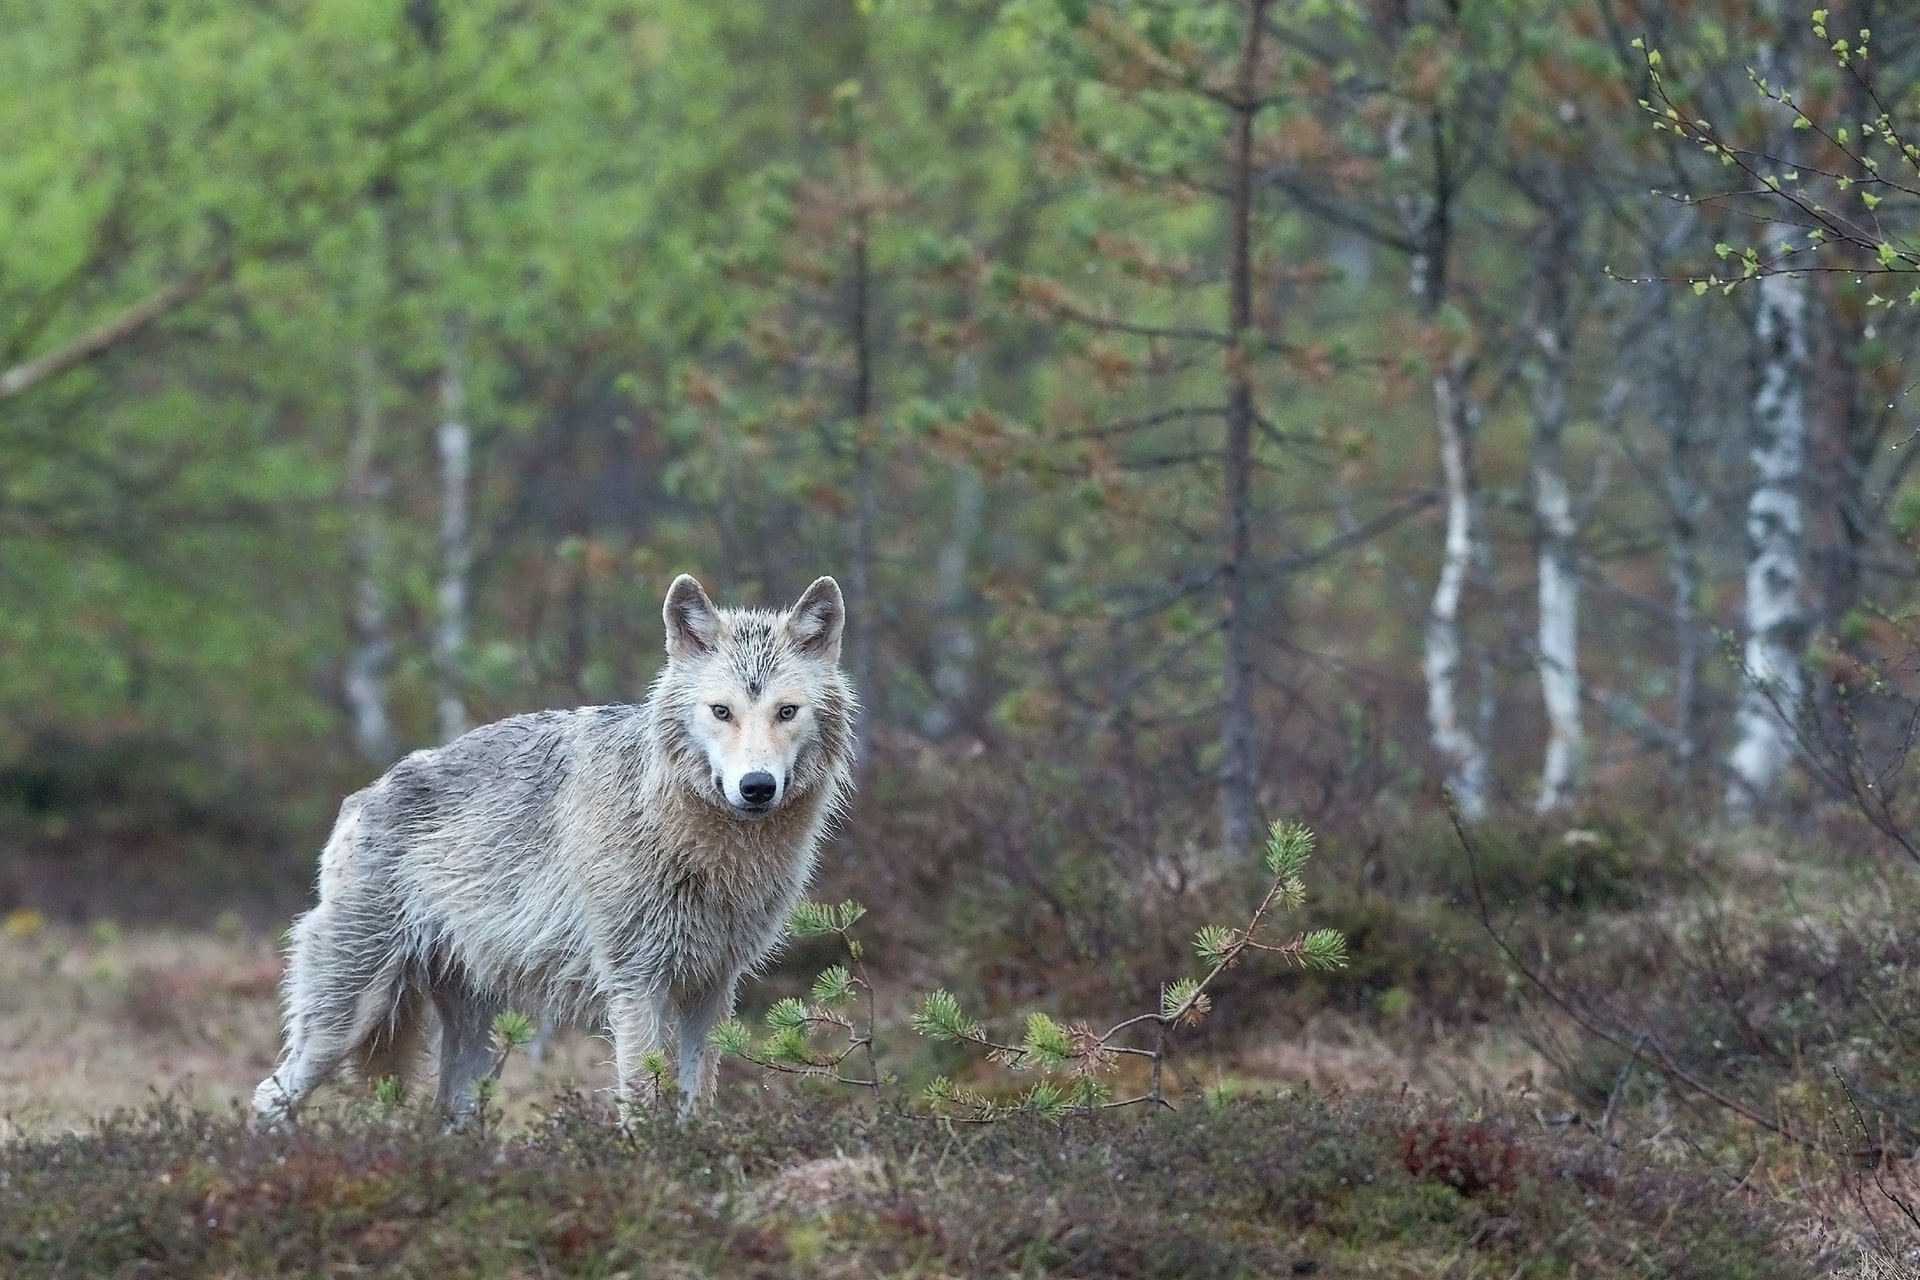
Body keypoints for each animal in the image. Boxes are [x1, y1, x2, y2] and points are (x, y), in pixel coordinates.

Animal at [251, 574, 856, 1125]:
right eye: (721, 711)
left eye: (786, 711)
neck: (706, 847)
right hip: (349, 1015)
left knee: (446, 1110)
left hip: (471, 1031)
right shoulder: (635, 983)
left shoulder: (712, 989)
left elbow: (697, 1102)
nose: (756, 786)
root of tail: (360, 797)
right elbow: (641, 1099)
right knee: (267, 1097)